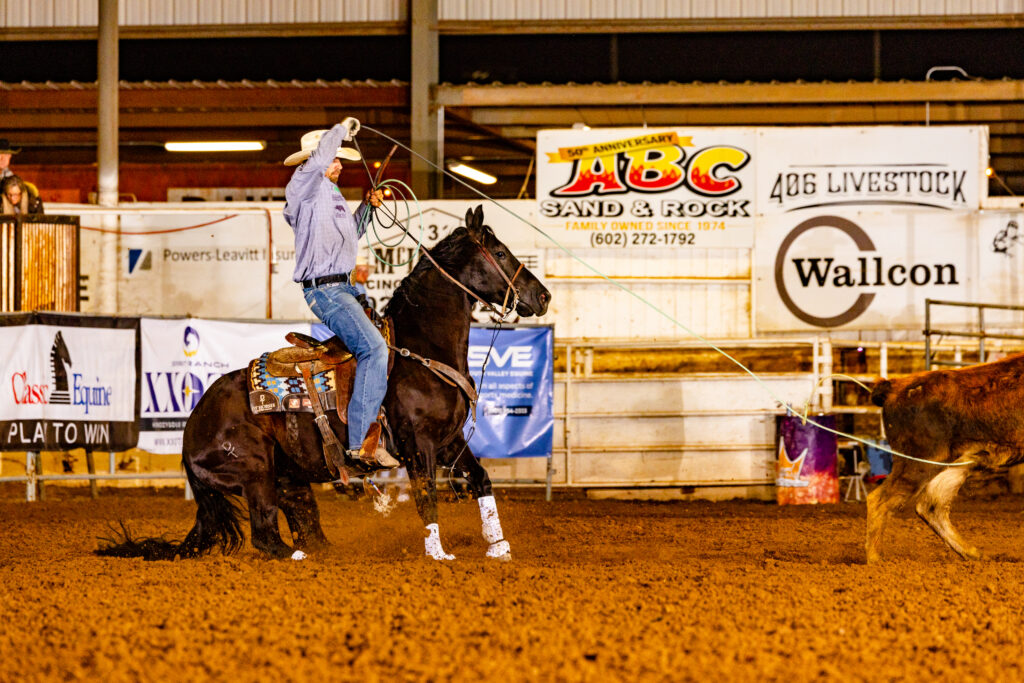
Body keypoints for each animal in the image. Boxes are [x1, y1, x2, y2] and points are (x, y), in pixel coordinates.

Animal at [97, 205, 550, 561]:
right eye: (500, 252)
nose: (543, 296)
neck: (422, 349)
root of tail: (193, 428)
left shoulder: (449, 440)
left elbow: (481, 480)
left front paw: (499, 547)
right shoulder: (417, 443)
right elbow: (427, 497)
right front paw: (437, 554)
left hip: (291, 482)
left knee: (306, 529)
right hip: (255, 472)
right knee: (266, 536)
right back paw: (300, 558)